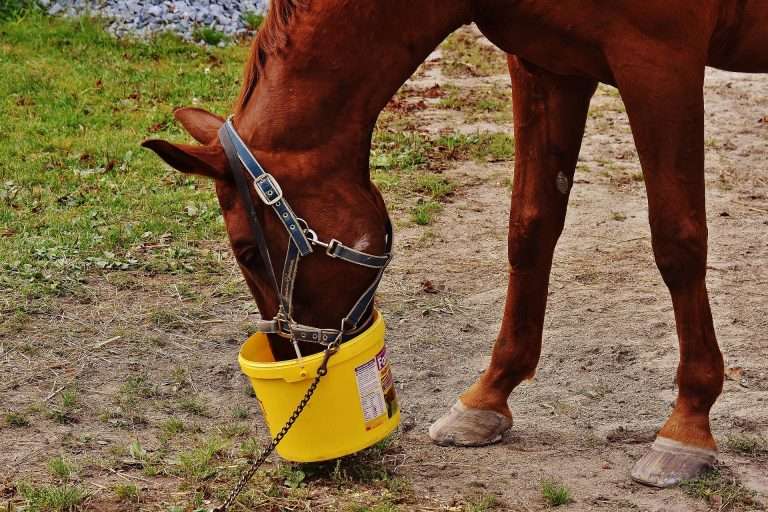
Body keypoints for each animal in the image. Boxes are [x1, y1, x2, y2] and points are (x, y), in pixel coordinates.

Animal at [142, 0, 768, 488]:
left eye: (248, 252)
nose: (288, 356)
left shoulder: (661, 62)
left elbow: (677, 240)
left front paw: (688, 424)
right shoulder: (547, 65)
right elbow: (530, 228)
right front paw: (488, 396)